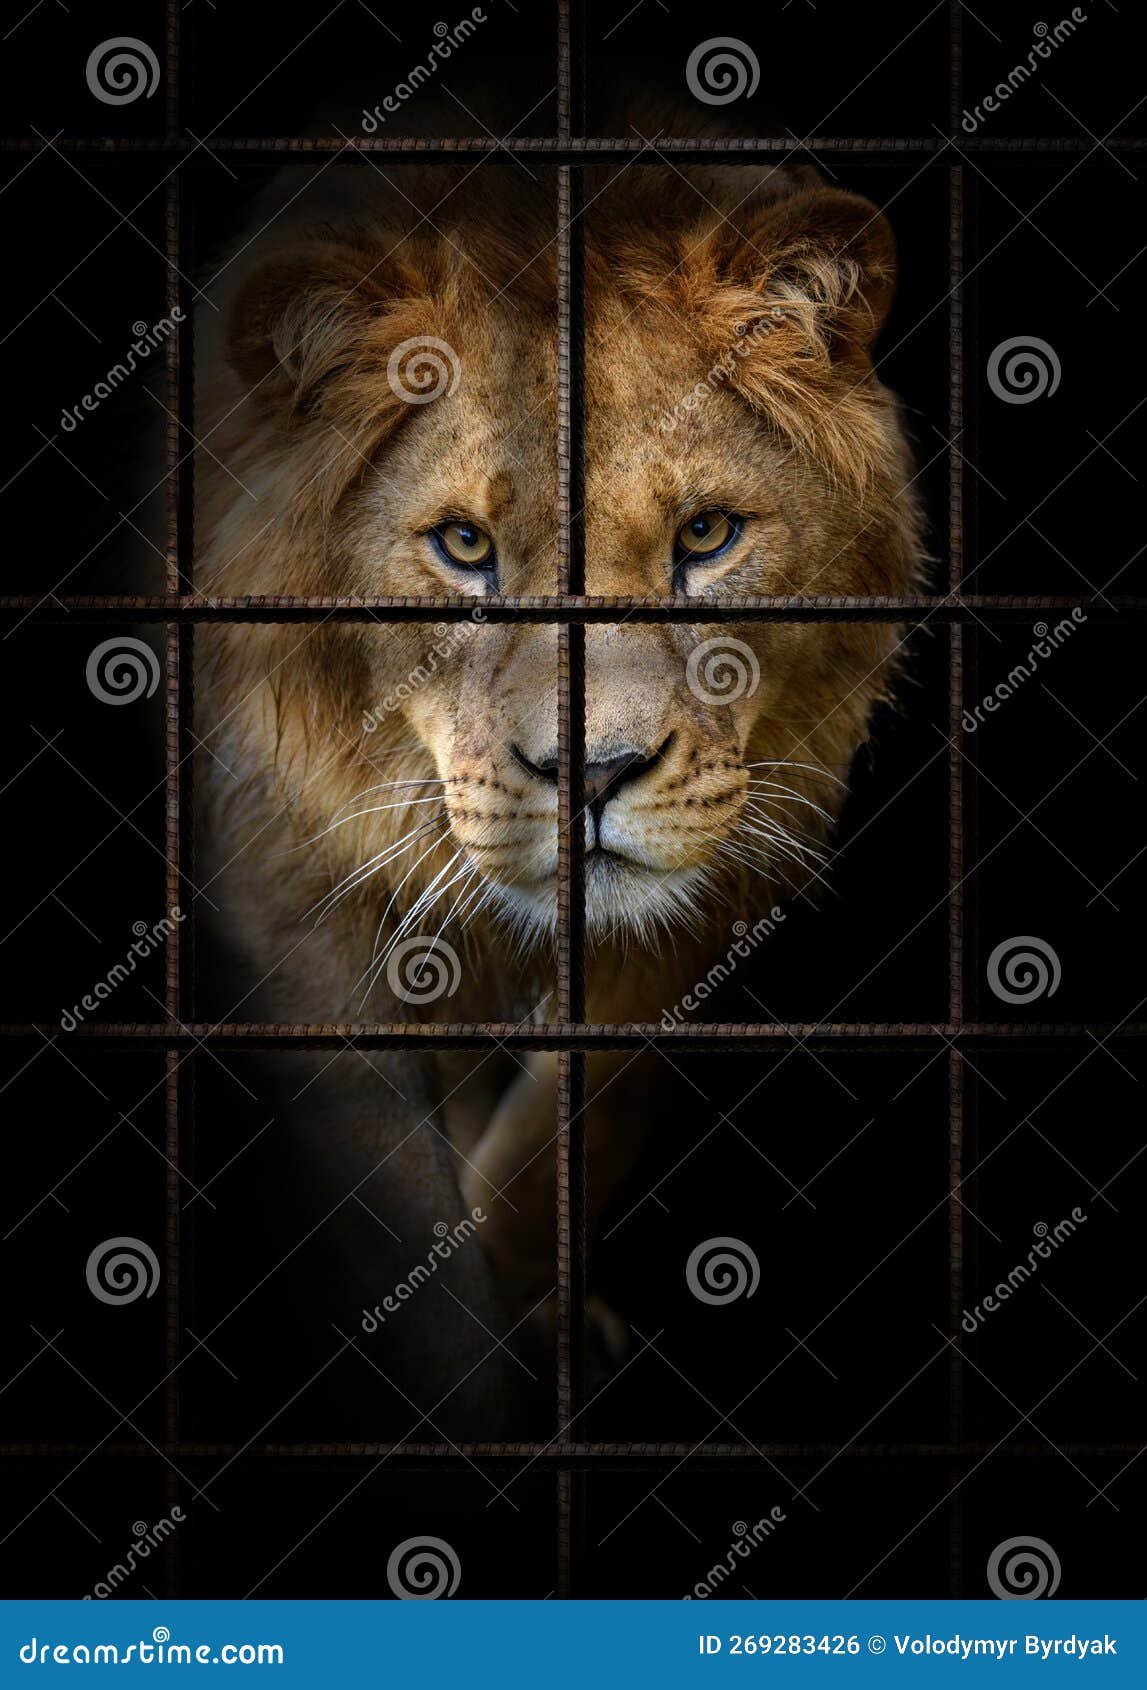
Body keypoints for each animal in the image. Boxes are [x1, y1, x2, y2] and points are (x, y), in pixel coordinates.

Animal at [192, 149, 923, 1411]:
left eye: (707, 535)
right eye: (464, 549)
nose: (594, 773)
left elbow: (572, 1130)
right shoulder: (279, 881)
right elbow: (390, 1219)